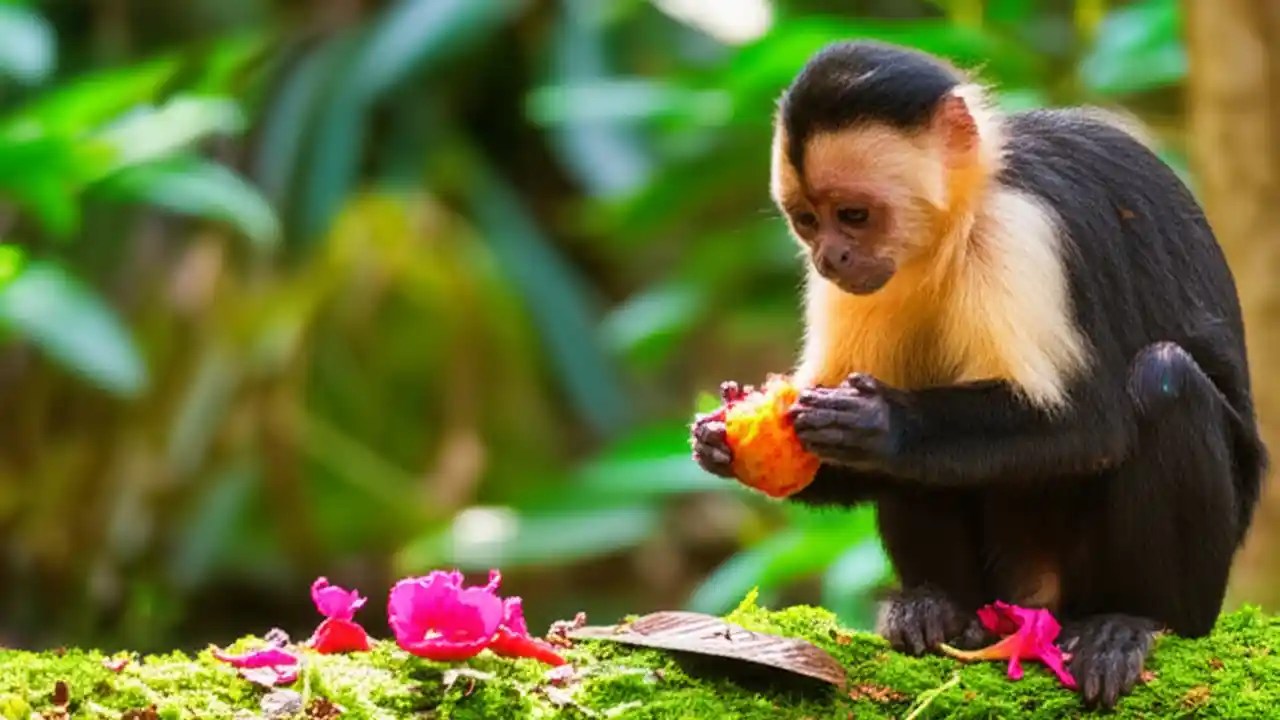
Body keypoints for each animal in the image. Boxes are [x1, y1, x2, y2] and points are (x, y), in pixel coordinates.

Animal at [691, 41, 1266, 709]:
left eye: (853, 215)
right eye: (808, 220)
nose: (829, 257)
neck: (955, 224)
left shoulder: (1021, 229)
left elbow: (1089, 427)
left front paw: (883, 422)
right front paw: (721, 438)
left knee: (1163, 378)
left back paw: (1135, 619)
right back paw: (941, 607)